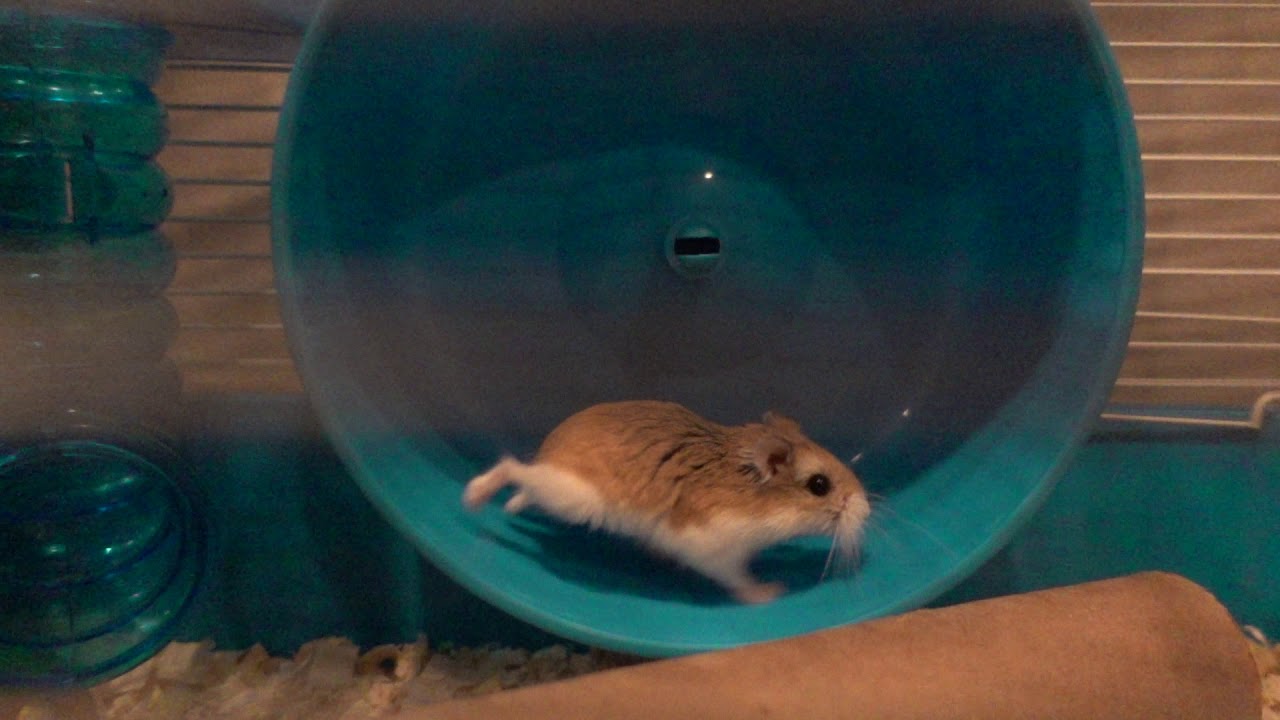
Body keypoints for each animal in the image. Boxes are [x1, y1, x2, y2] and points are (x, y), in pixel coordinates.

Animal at [463, 400, 871, 603]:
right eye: (819, 485)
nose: (866, 511)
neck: (757, 498)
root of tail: (550, 449)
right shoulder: (716, 549)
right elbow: (738, 579)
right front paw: (771, 592)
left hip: (559, 494)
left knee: (525, 485)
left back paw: (509, 508)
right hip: (574, 497)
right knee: (512, 467)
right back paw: (472, 498)